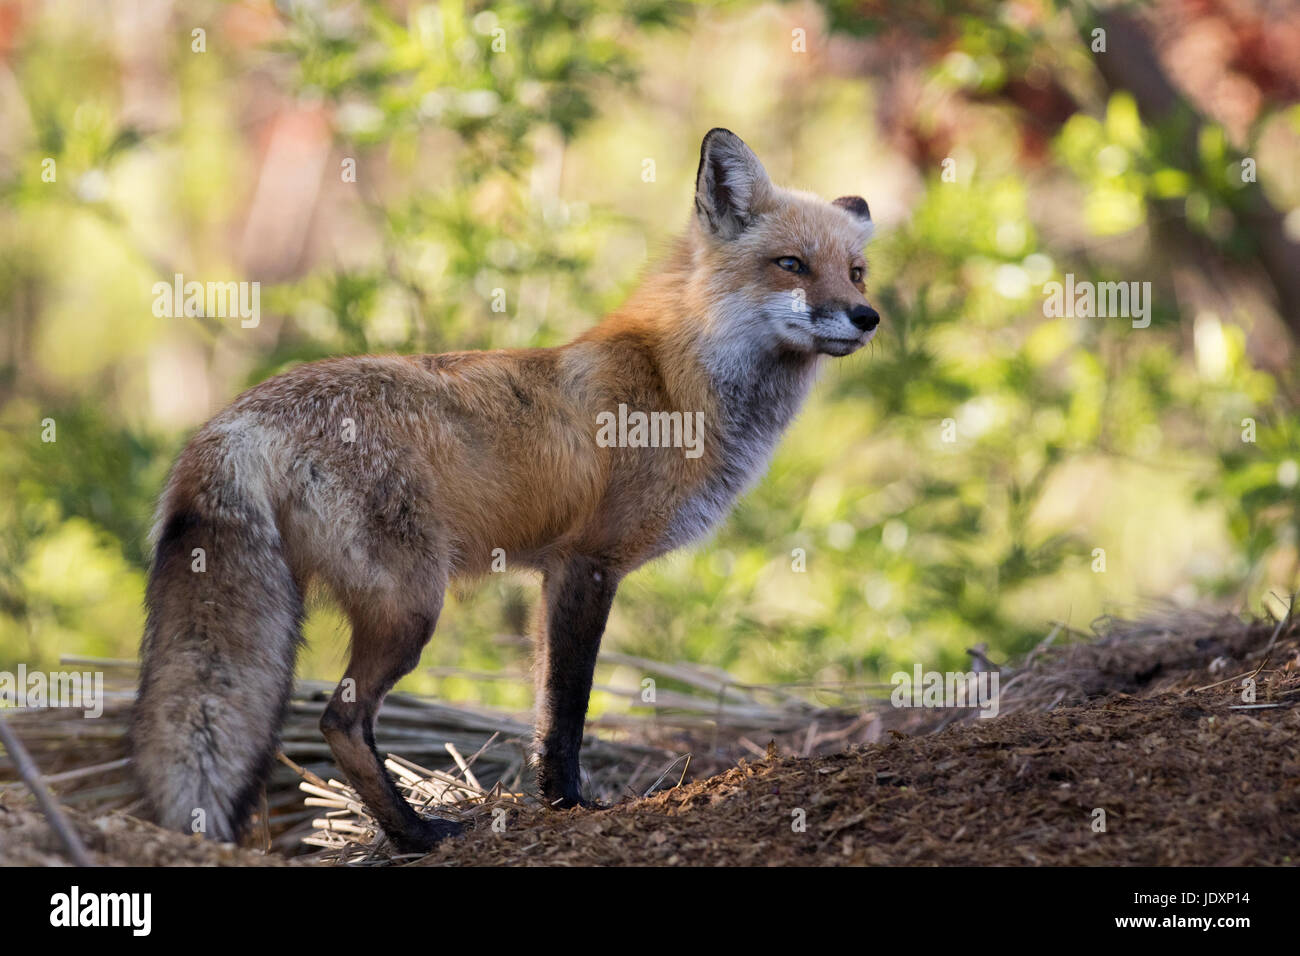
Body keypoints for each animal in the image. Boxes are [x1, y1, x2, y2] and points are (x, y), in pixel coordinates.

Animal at [130, 128, 880, 853]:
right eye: (791, 264)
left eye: (856, 270)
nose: (866, 316)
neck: (676, 382)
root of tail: (236, 418)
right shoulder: (588, 564)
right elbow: (568, 708)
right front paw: (570, 803)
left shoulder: (551, 576)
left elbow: (543, 708)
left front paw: (551, 799)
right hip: (409, 608)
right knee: (340, 720)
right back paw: (415, 834)